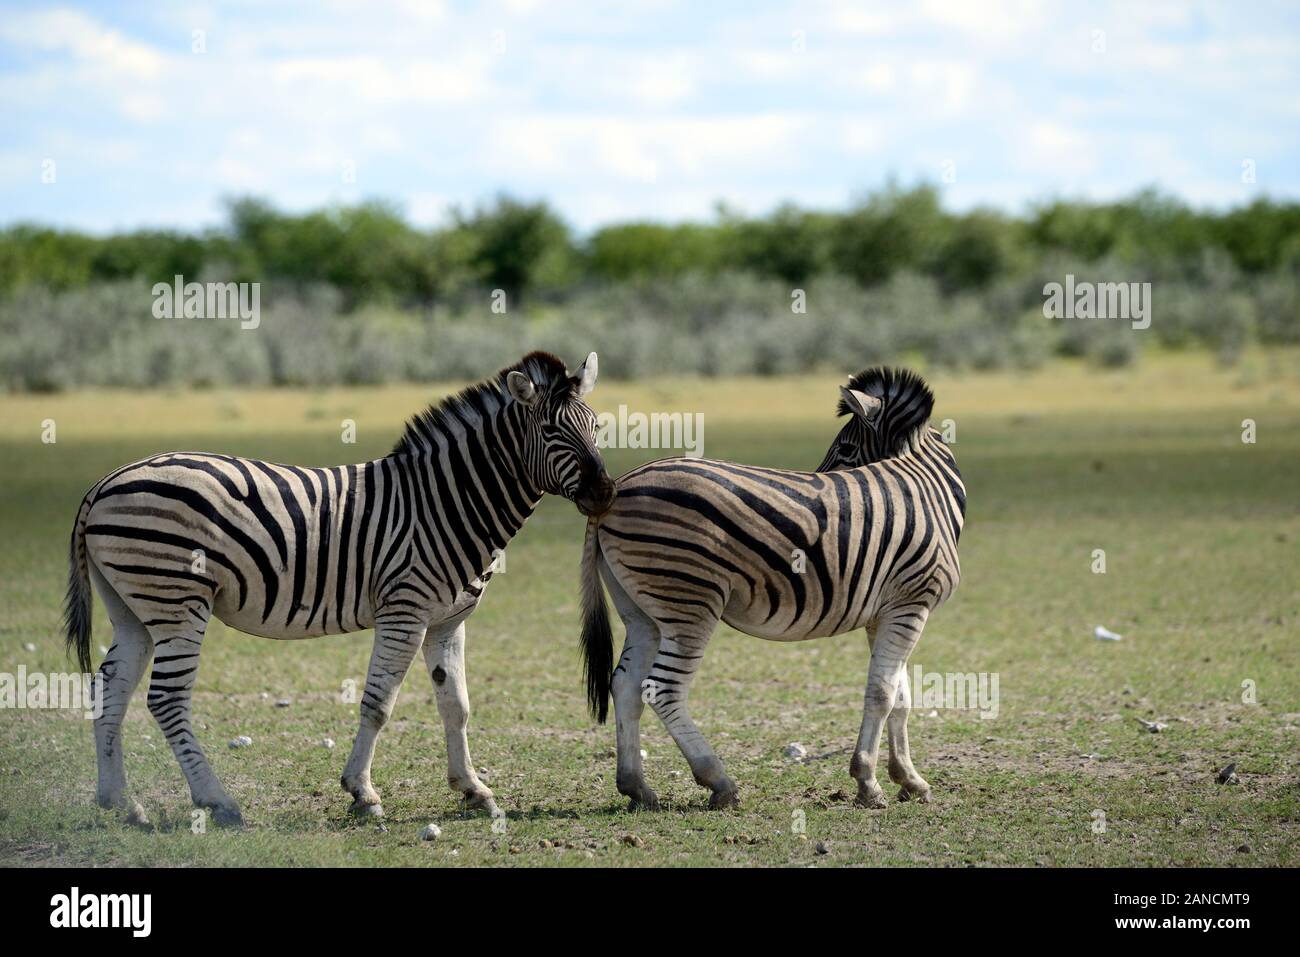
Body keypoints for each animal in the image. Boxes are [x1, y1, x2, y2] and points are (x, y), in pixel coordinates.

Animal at [64, 351, 613, 826]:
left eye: (596, 428)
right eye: (551, 431)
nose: (606, 494)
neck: (444, 502)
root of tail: (104, 483)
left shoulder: (447, 621)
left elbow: (456, 706)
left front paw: (473, 789)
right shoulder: (404, 611)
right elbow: (379, 703)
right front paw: (363, 794)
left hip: (133, 609)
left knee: (110, 687)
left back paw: (120, 802)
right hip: (178, 601)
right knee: (167, 699)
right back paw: (217, 802)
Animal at [578, 366, 965, 811]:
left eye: (847, 450)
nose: (823, 476)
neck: (926, 485)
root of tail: (614, 492)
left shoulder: (889, 611)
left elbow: (900, 695)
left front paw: (909, 779)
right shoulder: (911, 603)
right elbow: (883, 694)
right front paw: (868, 782)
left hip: (642, 611)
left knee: (625, 686)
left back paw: (636, 787)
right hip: (689, 601)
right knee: (662, 691)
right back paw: (719, 781)